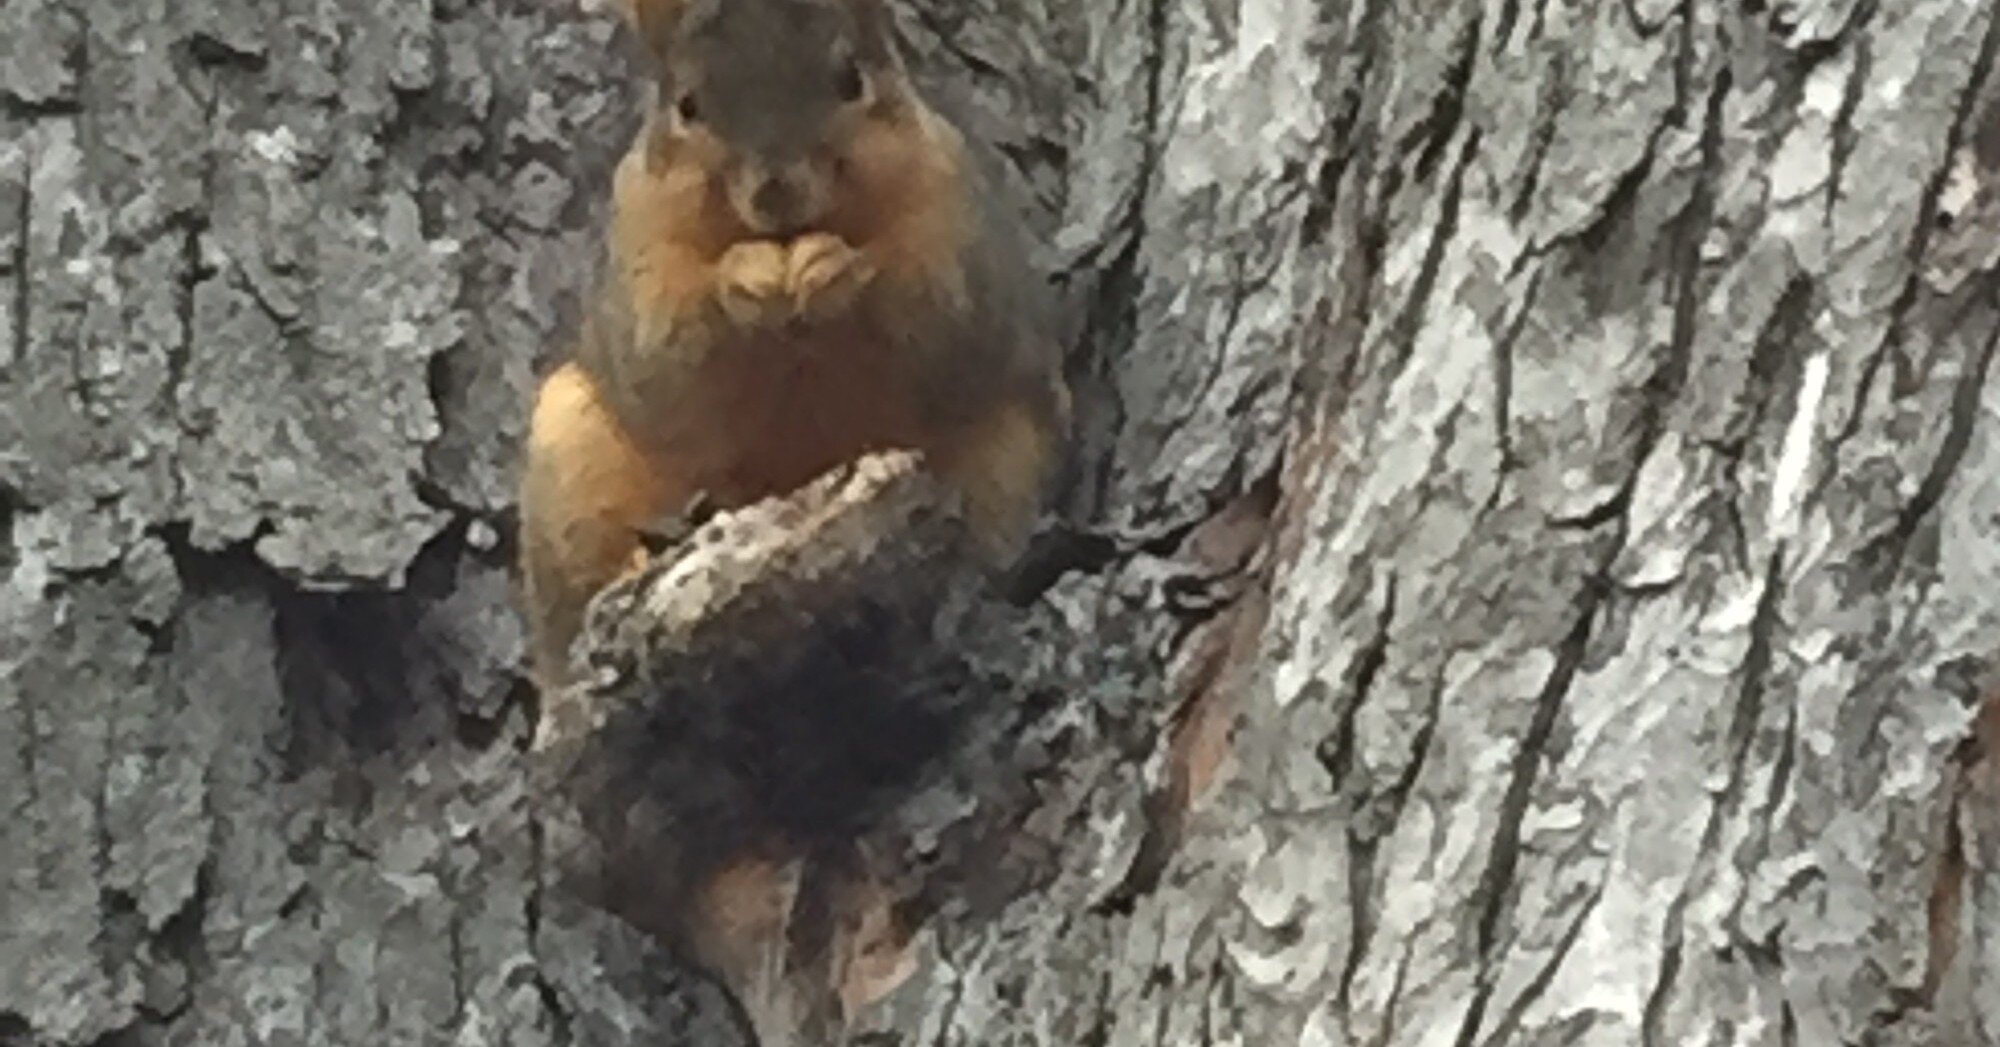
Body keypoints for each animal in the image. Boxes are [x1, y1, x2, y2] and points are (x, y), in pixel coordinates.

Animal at [515, 0, 1069, 1033]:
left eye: (851, 77)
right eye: (688, 105)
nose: (775, 193)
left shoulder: (955, 231)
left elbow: (930, 318)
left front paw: (827, 267)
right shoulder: (640, 258)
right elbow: (673, 348)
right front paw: (749, 277)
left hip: (1007, 456)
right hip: (570, 452)